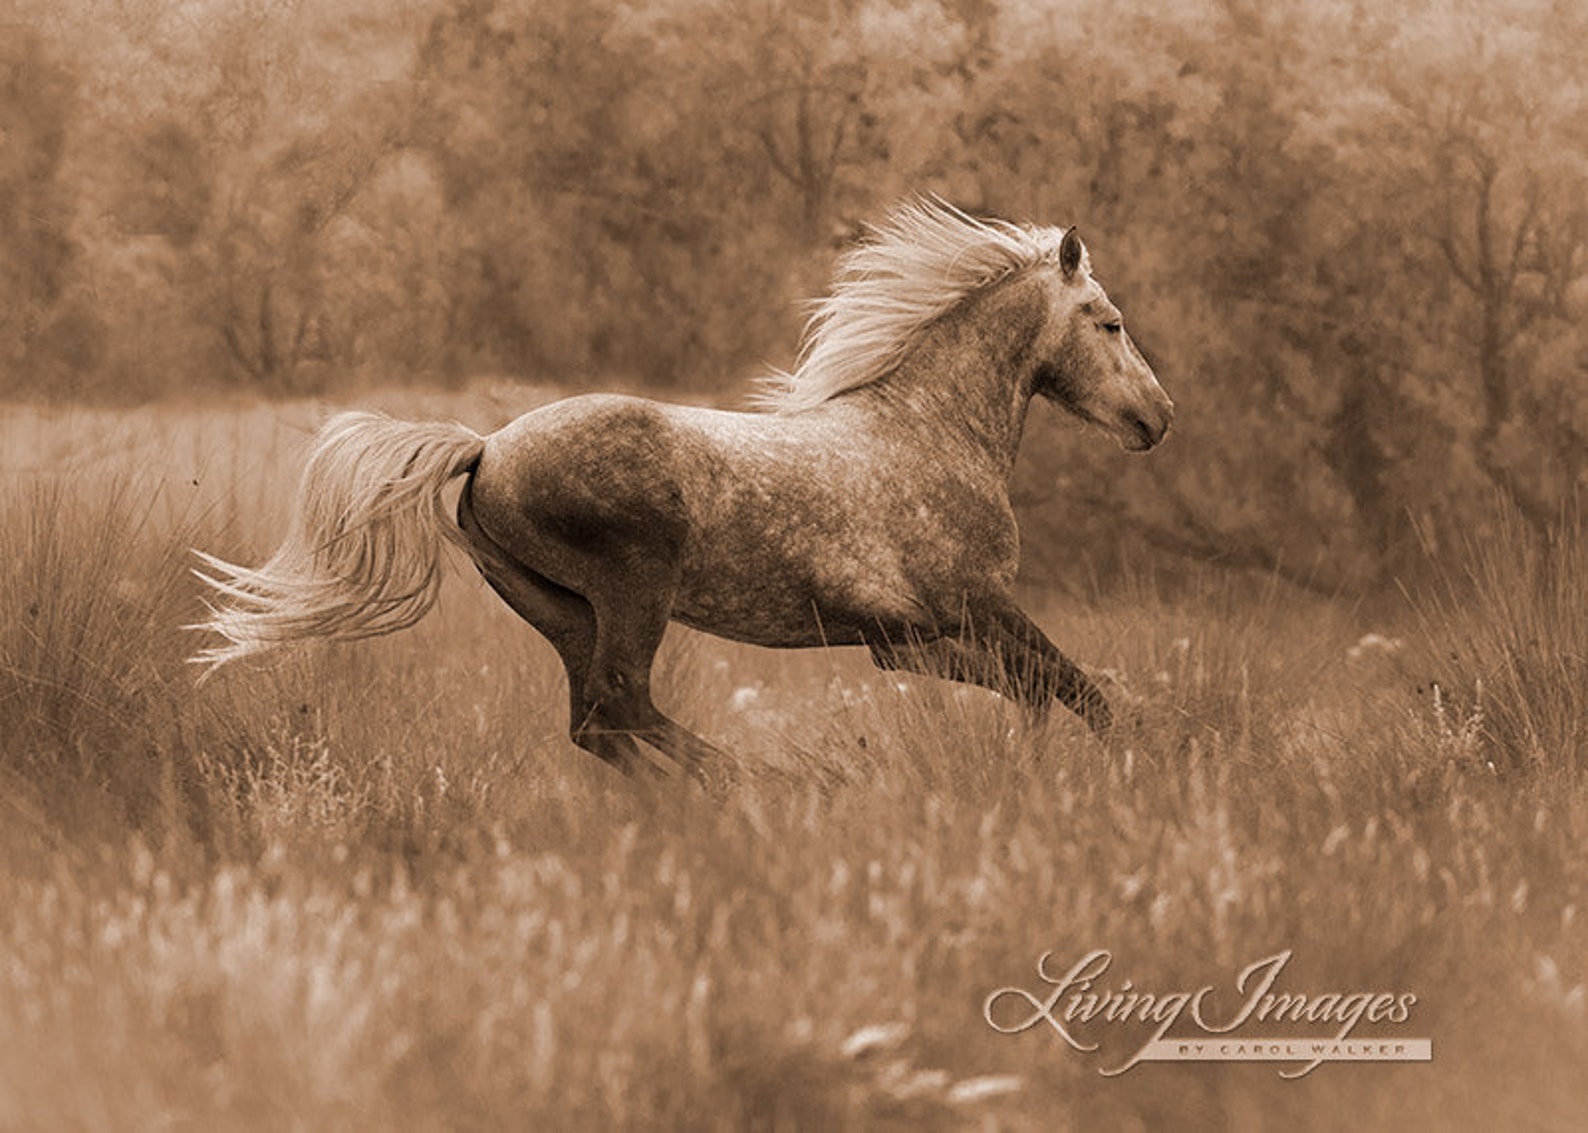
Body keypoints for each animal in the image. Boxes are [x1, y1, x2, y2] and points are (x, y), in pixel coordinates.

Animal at [191, 198, 1173, 780]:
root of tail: (484, 449)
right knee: (621, 704)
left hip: (563, 612)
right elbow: (1077, 686)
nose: (1159, 417)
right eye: (1109, 321)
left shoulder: (906, 640)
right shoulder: (976, 601)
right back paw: (769, 784)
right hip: (637, 590)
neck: (927, 431)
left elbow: (1042, 688)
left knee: (599, 721)